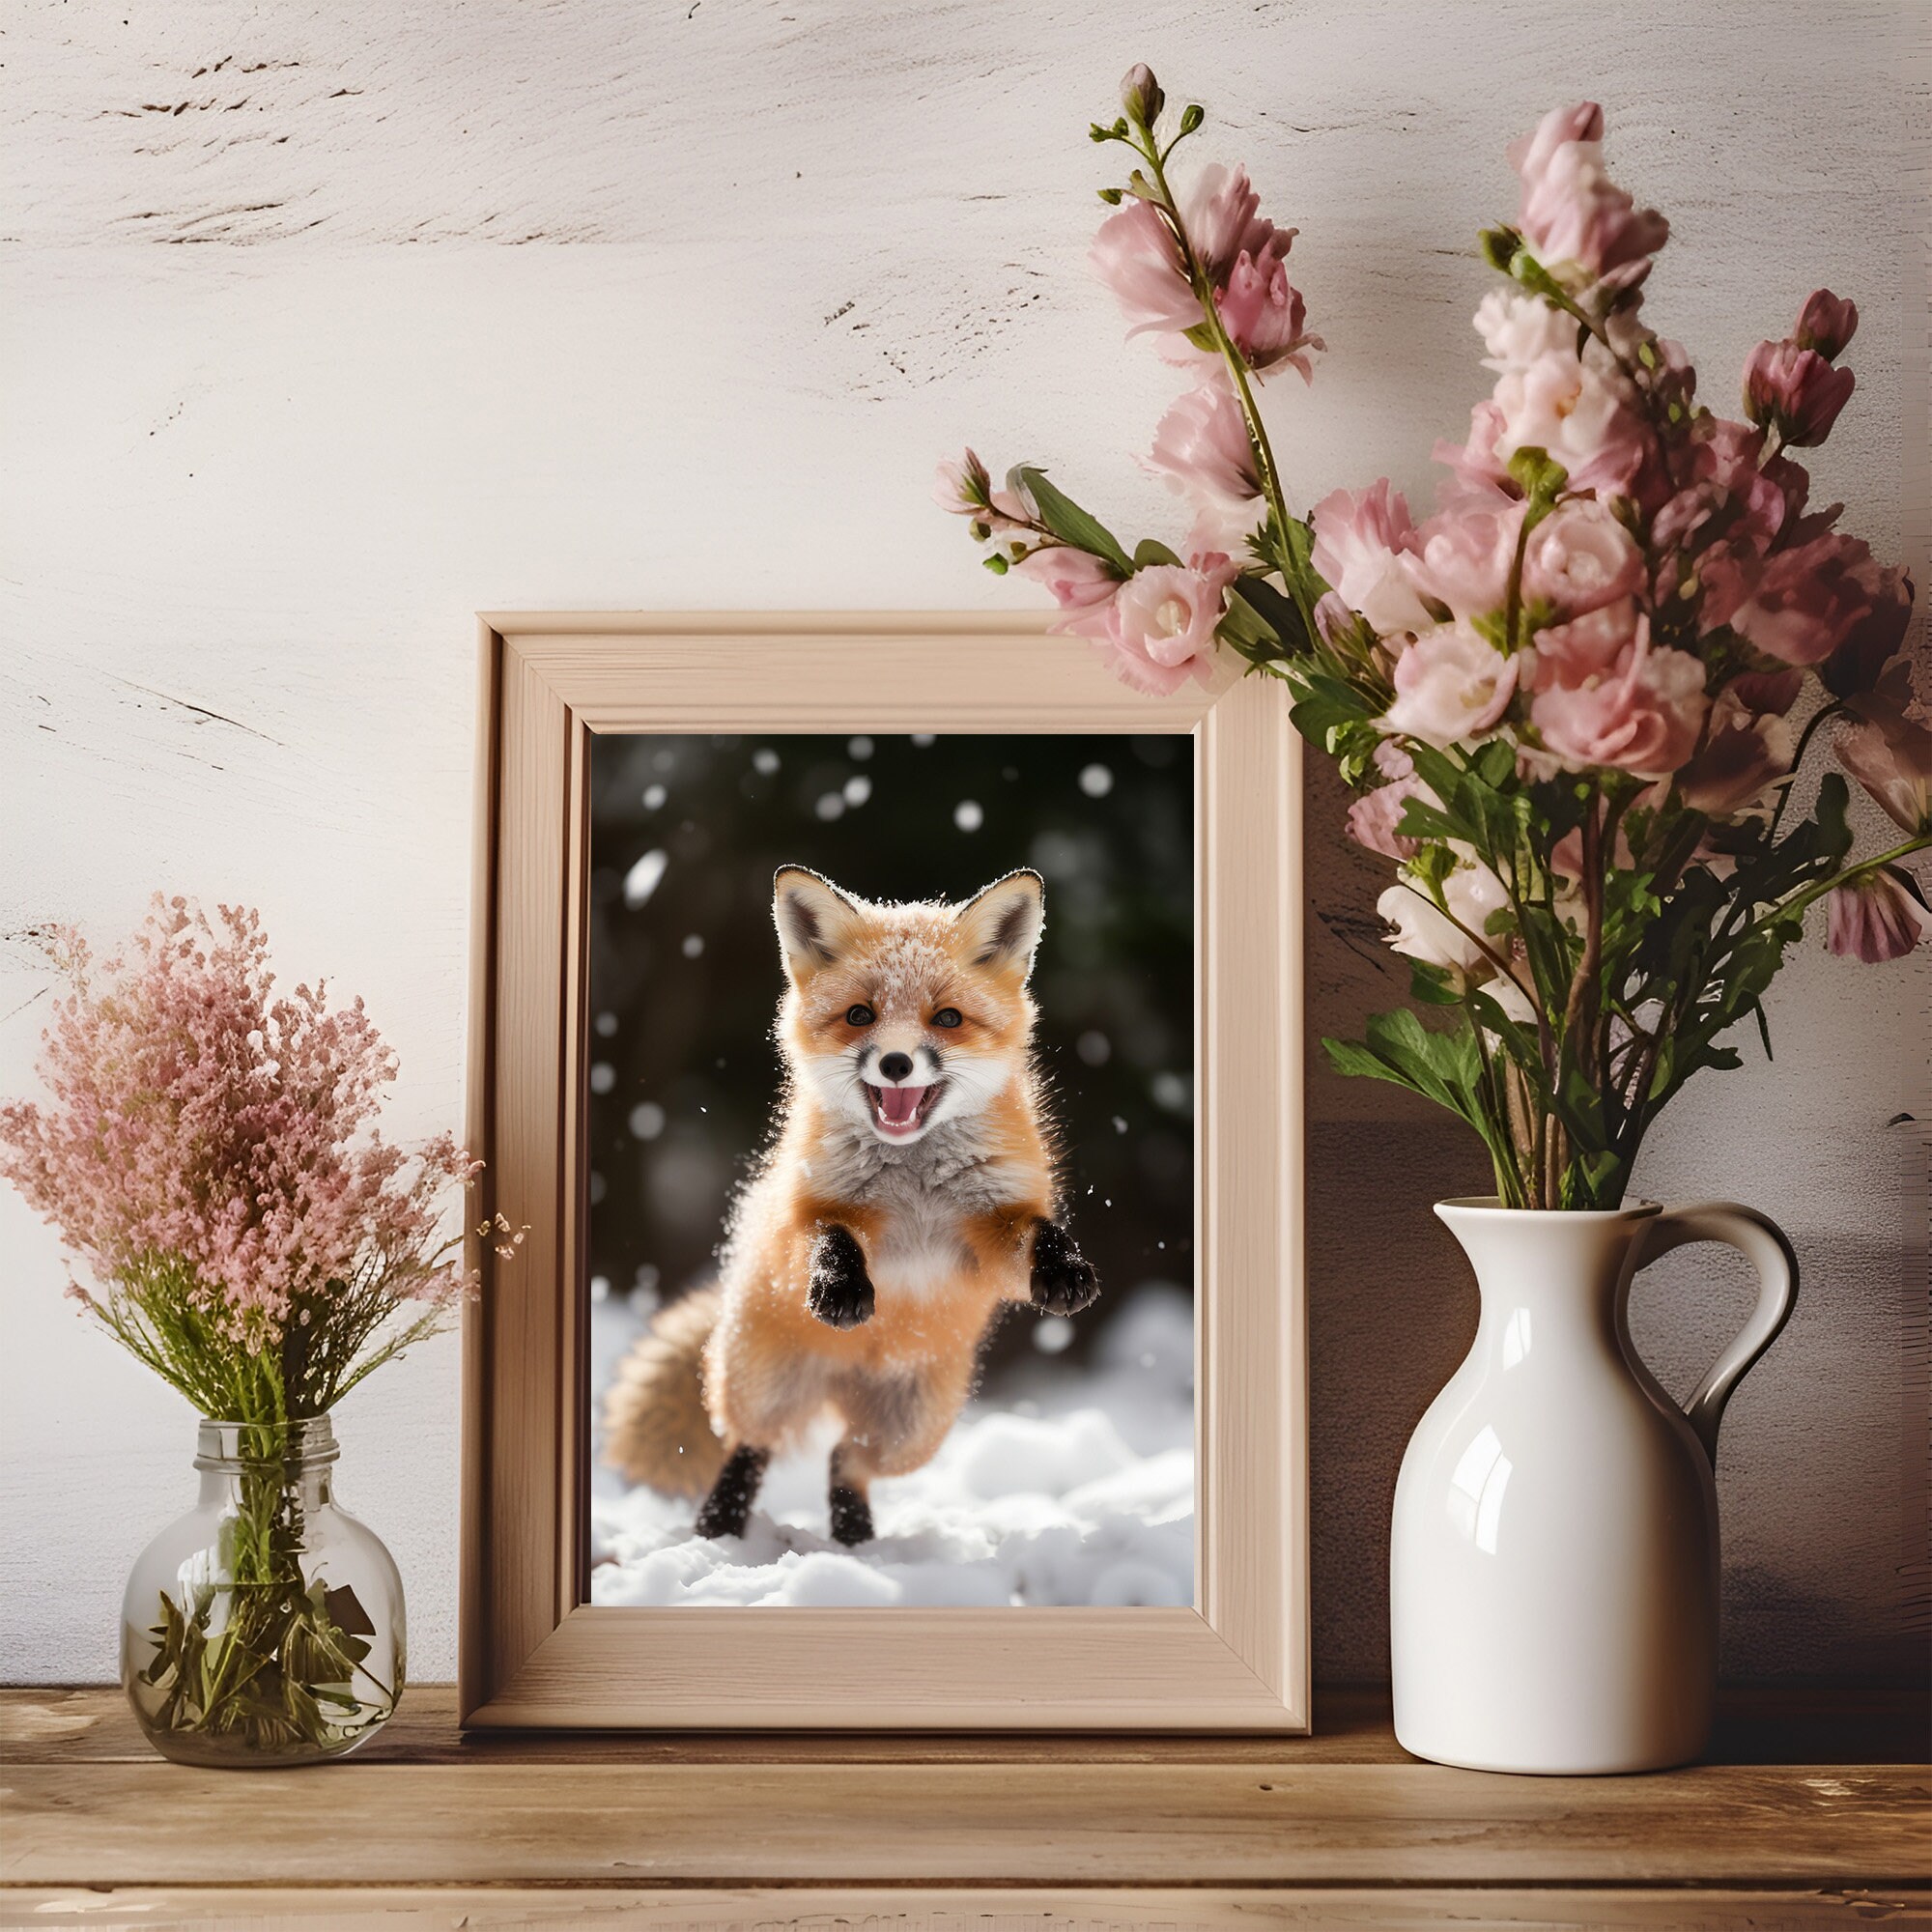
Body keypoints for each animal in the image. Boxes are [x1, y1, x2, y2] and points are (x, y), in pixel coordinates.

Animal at [601, 863, 1100, 1546]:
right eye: (860, 1015)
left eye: (947, 1018)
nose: (896, 1063)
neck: (915, 1185)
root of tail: (846, 1379)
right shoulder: (805, 1217)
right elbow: (830, 1236)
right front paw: (840, 1289)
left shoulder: (989, 1237)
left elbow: (1041, 1234)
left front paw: (1065, 1272)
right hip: (764, 1384)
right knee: (751, 1445)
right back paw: (720, 1526)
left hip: (915, 1428)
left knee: (847, 1457)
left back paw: (854, 1536)